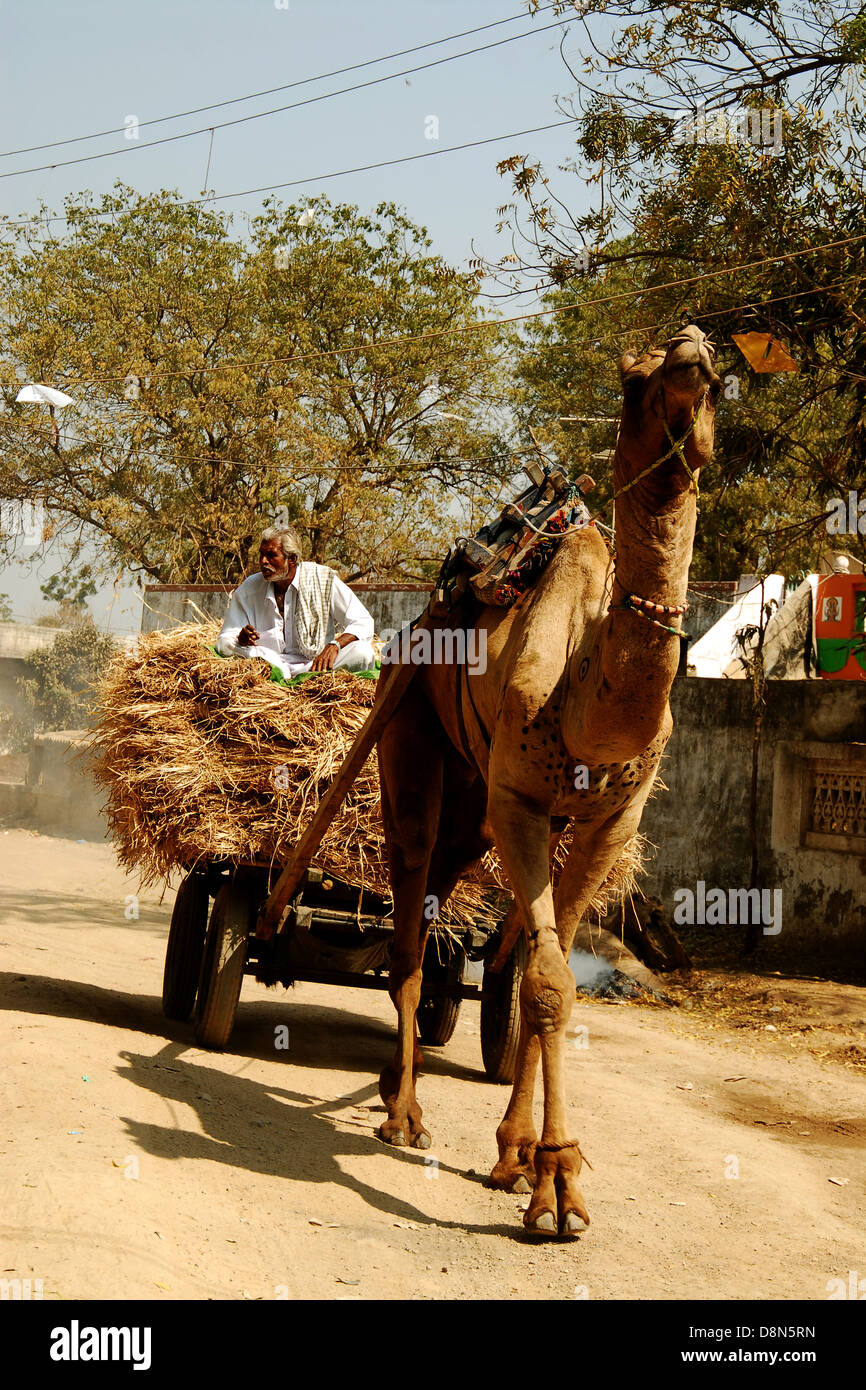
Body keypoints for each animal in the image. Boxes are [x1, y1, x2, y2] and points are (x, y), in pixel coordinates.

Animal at [375, 324, 720, 1236]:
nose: (691, 354)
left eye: (717, 377)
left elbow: (544, 973)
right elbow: (550, 983)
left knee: (449, 893)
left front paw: (516, 1156)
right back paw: (401, 1113)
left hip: (476, 801)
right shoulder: (526, 803)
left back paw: (400, 1094)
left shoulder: (604, 823)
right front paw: (559, 1180)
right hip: (413, 734)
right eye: (634, 377)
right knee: (408, 914)